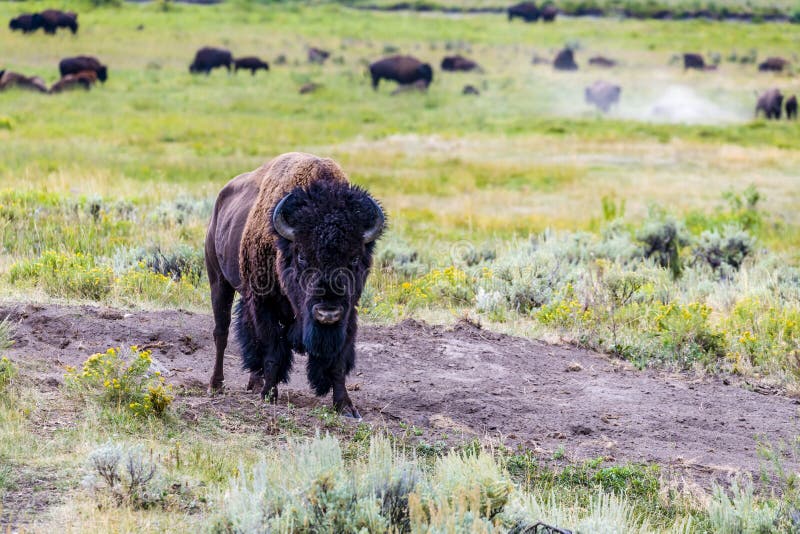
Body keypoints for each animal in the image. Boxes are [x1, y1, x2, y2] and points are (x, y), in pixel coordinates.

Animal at [205, 152, 385, 419]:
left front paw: (346, 406)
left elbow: (338, 363)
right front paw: (269, 396)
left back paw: (253, 383)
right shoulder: (264, 304)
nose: (327, 312)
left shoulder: (348, 314)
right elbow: (272, 353)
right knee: (222, 332)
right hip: (218, 282)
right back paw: (216, 385)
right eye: (302, 256)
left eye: (354, 258)